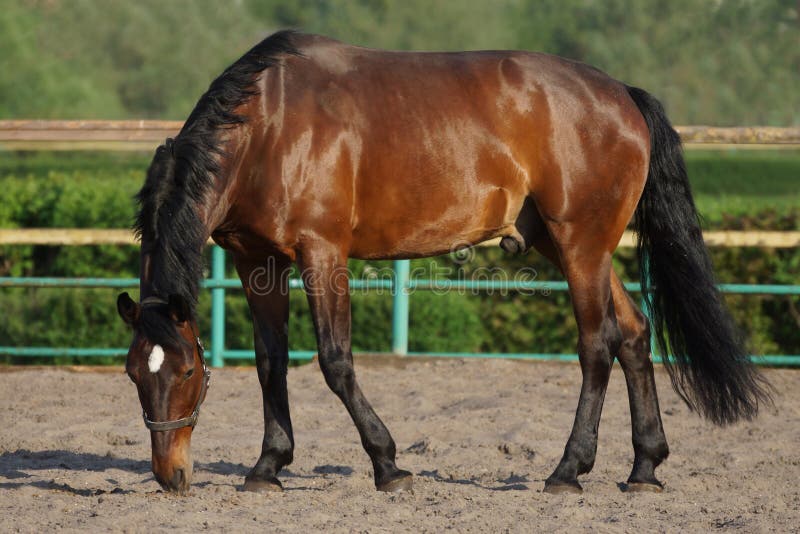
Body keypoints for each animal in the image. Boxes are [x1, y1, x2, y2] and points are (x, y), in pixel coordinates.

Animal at [116, 30, 770, 495]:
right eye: (133, 375)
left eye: (187, 372)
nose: (170, 476)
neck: (267, 128)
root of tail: (621, 96)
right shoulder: (257, 262)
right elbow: (270, 363)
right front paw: (268, 466)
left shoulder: (322, 252)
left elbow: (335, 361)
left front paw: (388, 464)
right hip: (576, 246)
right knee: (634, 334)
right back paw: (644, 468)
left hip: (581, 246)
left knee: (597, 345)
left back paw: (568, 471)